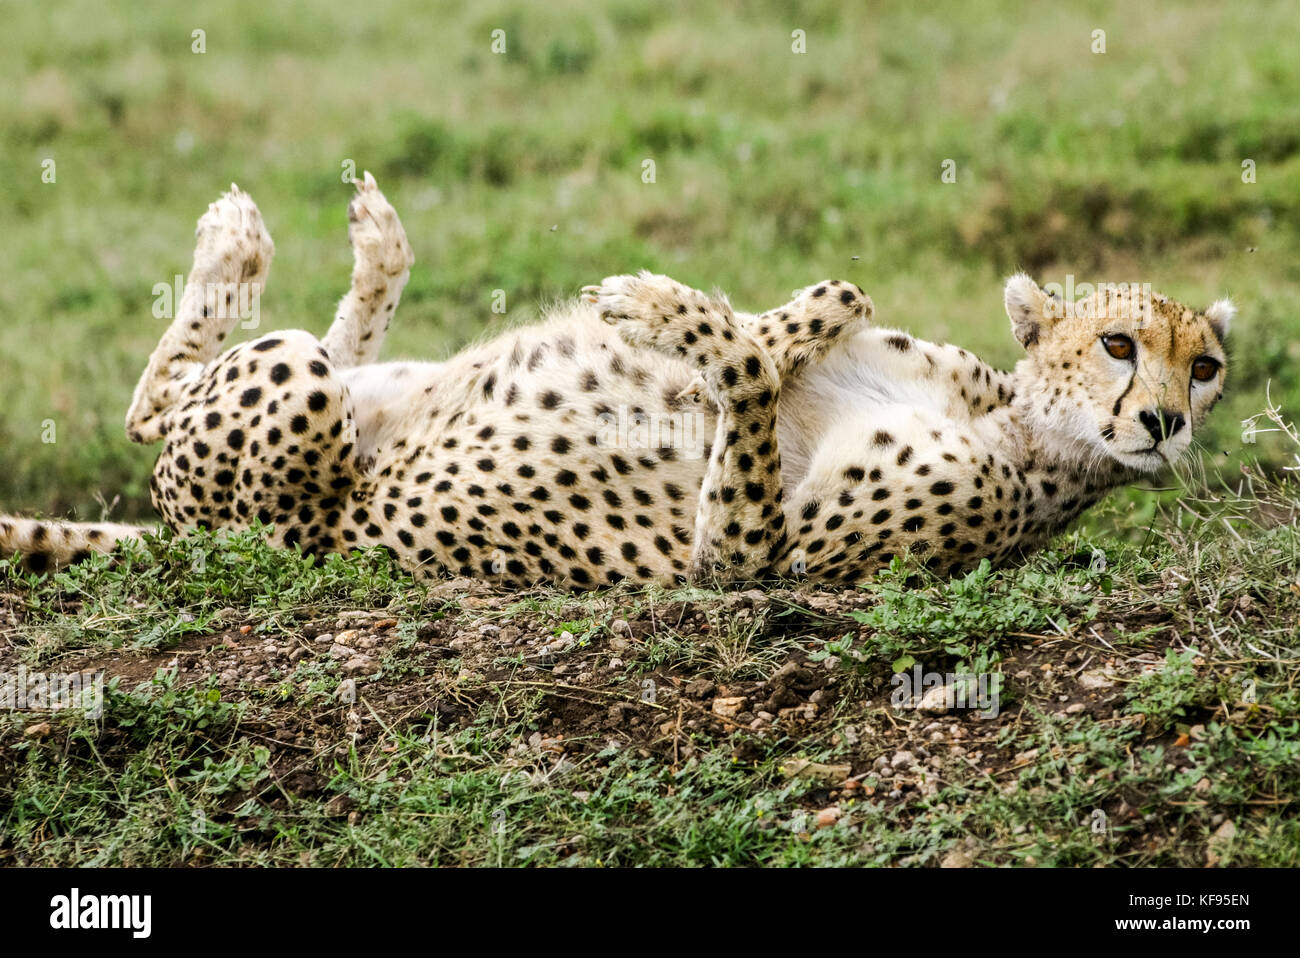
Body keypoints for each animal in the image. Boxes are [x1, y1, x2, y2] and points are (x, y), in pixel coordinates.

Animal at [0, 176, 1234, 589]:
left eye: (1207, 367)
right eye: (1120, 346)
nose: (1166, 422)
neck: (1029, 434)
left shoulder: (746, 562)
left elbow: (747, 369)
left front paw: (669, 316)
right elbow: (823, 306)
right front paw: (723, 318)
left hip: (280, 421)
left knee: (156, 407)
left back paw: (247, 244)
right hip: (337, 393)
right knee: (206, 385)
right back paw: (338, 242)